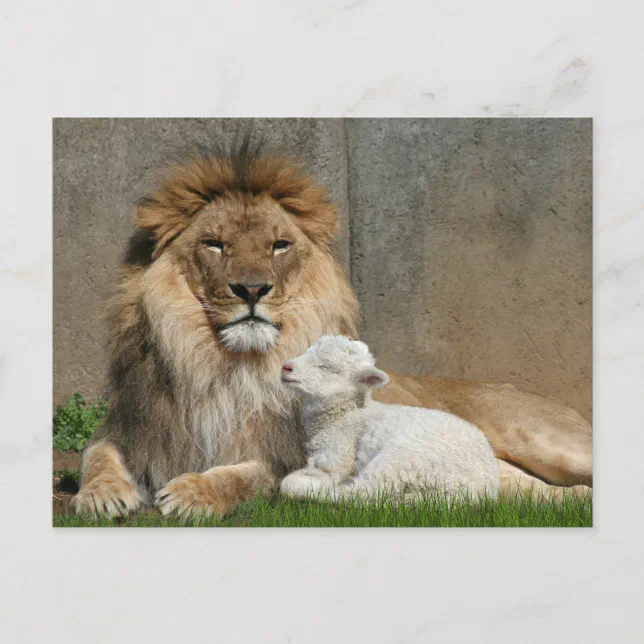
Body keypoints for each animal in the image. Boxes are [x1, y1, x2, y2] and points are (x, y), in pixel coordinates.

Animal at [279, 335, 500, 504]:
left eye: (328, 367)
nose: (286, 367)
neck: (345, 416)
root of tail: (472, 491)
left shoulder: (337, 457)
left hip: (400, 460)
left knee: (359, 495)